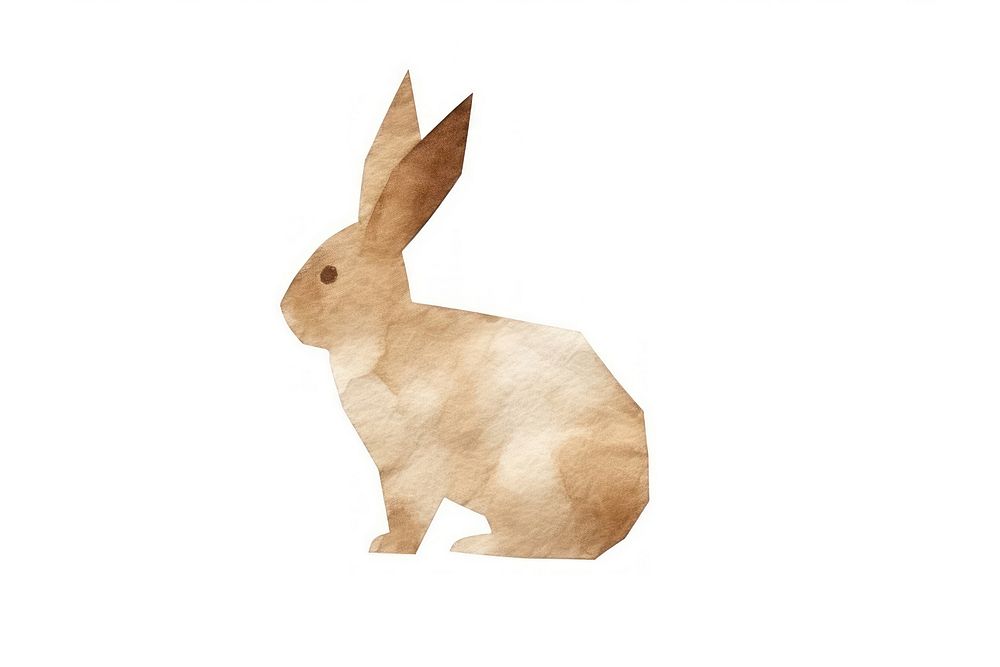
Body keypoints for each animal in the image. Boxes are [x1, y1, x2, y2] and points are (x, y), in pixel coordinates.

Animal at [280, 73, 648, 559]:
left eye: (328, 275)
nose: (284, 312)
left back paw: (476, 545)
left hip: (528, 479)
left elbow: (410, 515)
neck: (382, 332)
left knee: (566, 543)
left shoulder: (413, 467)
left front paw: (388, 548)